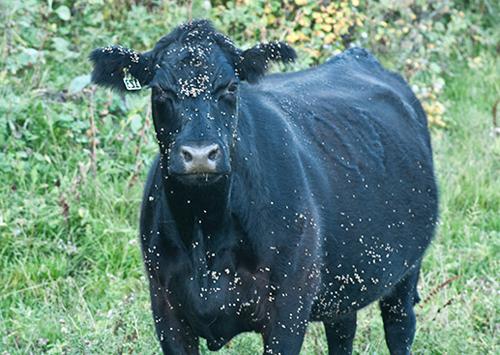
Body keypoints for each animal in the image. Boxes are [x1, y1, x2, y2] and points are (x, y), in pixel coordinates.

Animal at [90, 20, 438, 355]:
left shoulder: (288, 309)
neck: (206, 229)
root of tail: (357, 56)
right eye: (161, 90)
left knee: (399, 328)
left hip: (407, 270)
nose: (200, 155)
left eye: (231, 87)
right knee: (342, 330)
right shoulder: (166, 309)